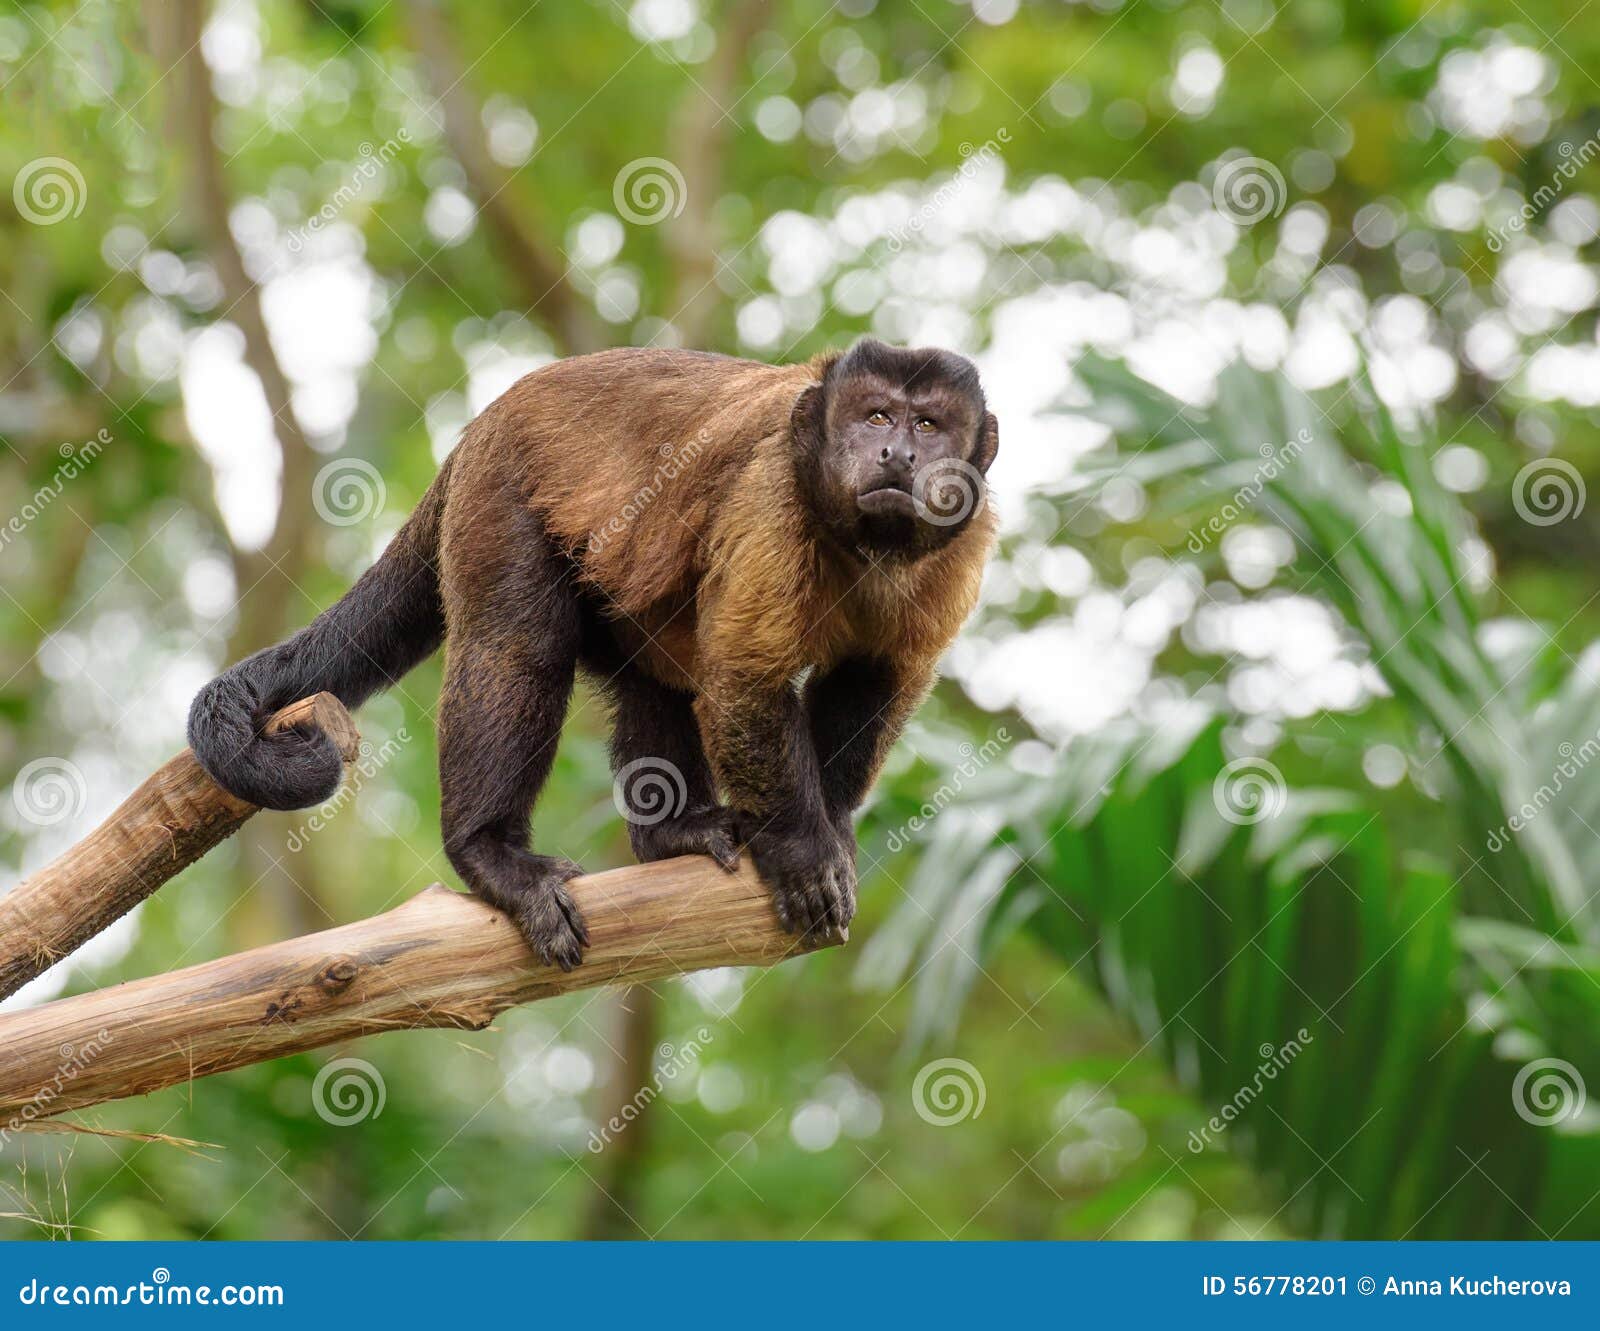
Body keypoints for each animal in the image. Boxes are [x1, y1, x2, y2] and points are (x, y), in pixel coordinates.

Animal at [187, 338, 999, 970]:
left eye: (929, 424)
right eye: (875, 417)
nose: (897, 452)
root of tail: (483, 424)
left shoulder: (965, 538)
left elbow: (876, 680)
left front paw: (831, 825)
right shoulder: (772, 495)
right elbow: (744, 682)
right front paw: (803, 849)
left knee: (661, 669)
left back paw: (670, 834)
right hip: (499, 491)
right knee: (520, 650)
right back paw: (489, 853)